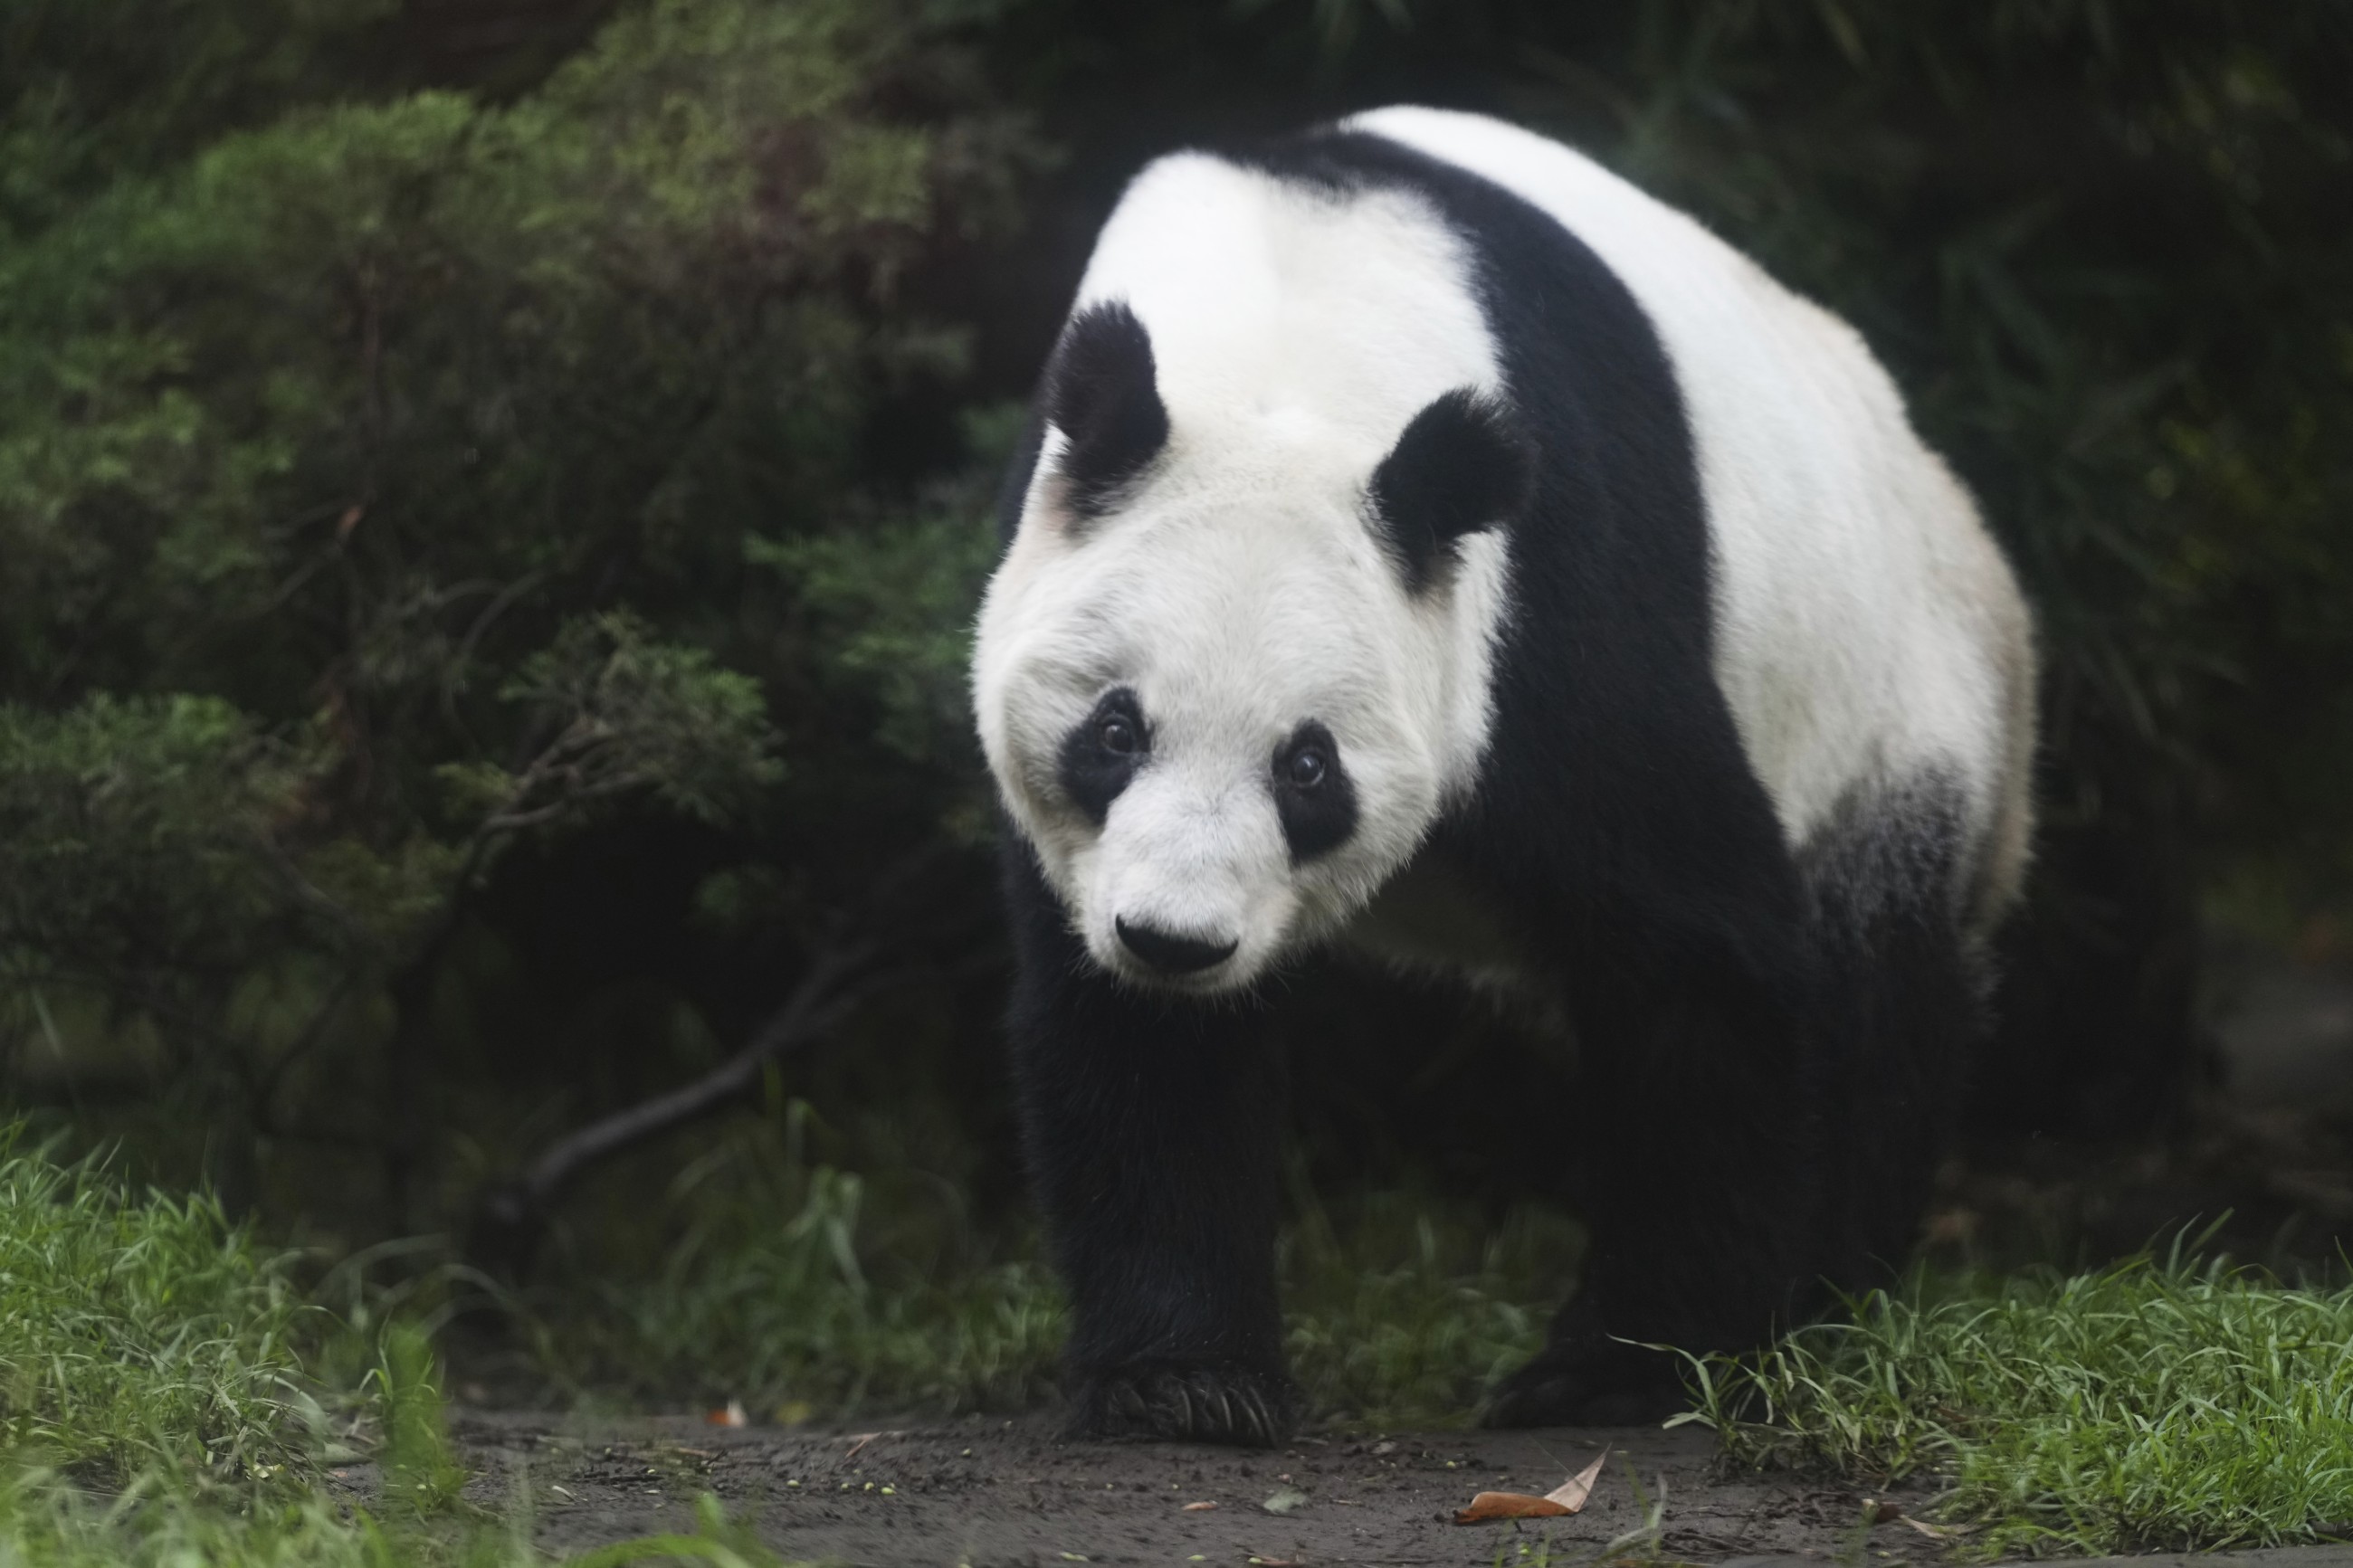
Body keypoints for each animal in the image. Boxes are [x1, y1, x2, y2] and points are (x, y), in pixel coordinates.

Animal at [971, 106, 2036, 1445]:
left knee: (1876, 991)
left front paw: (1623, 1370)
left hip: (1898, 706)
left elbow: (1697, 951)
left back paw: (1825, 1292)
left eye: (1306, 765)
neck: (1288, 326)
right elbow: (1139, 1046)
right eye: (1114, 732)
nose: (1177, 938)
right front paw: (1184, 1380)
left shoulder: (1550, 604)